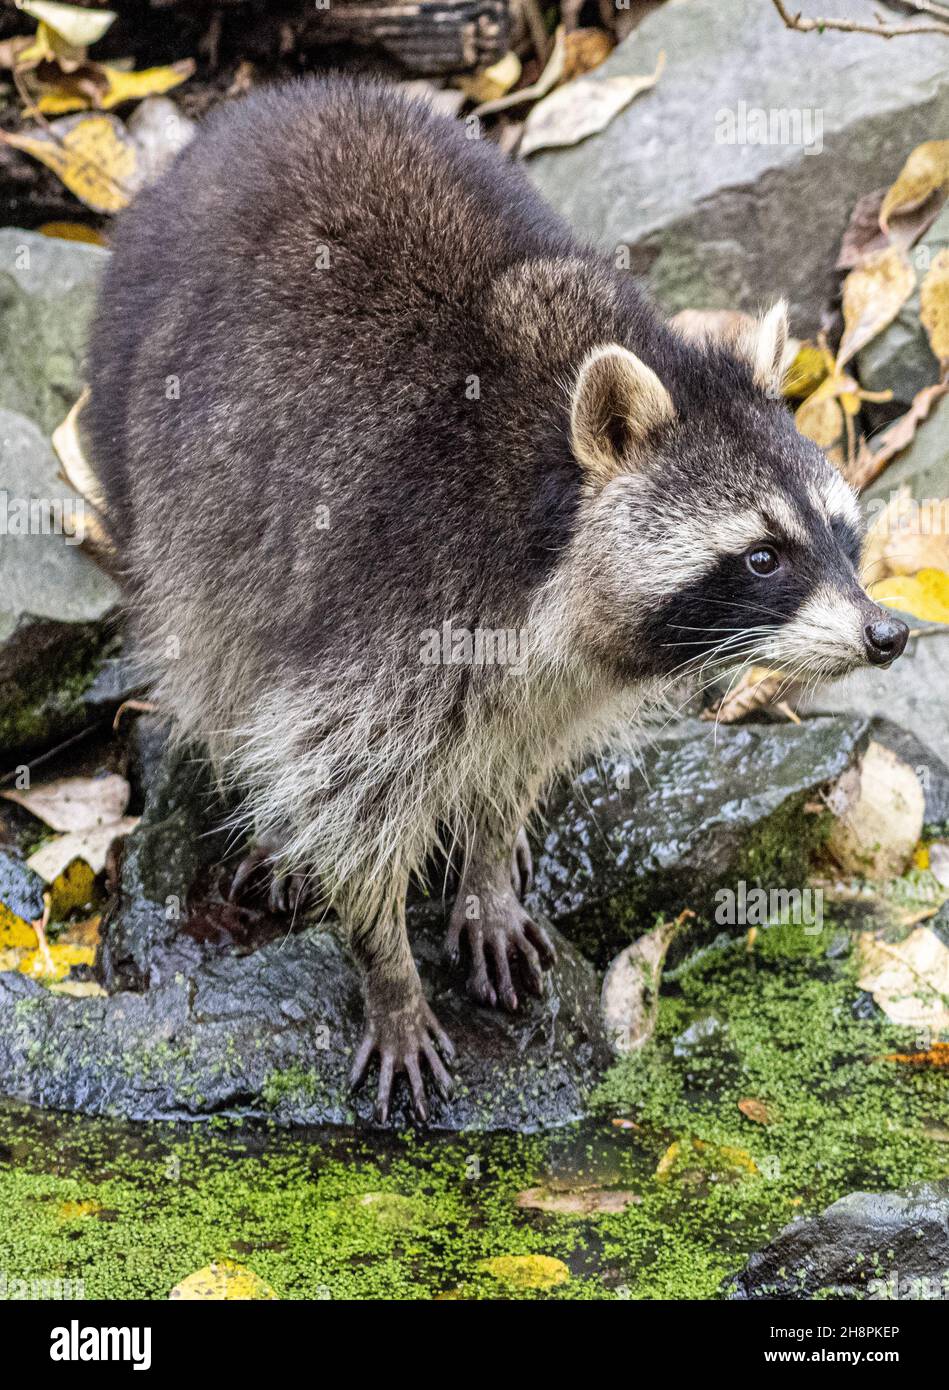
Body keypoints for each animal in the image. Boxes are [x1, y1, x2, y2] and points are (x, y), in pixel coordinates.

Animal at [86, 77, 907, 1122]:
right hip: (154, 461)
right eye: (763, 558)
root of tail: (263, 107)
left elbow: (515, 750)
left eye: (842, 534)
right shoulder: (405, 598)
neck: (560, 499)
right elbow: (347, 793)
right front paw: (387, 966)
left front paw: (486, 860)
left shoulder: (553, 669)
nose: (886, 635)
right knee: (218, 639)